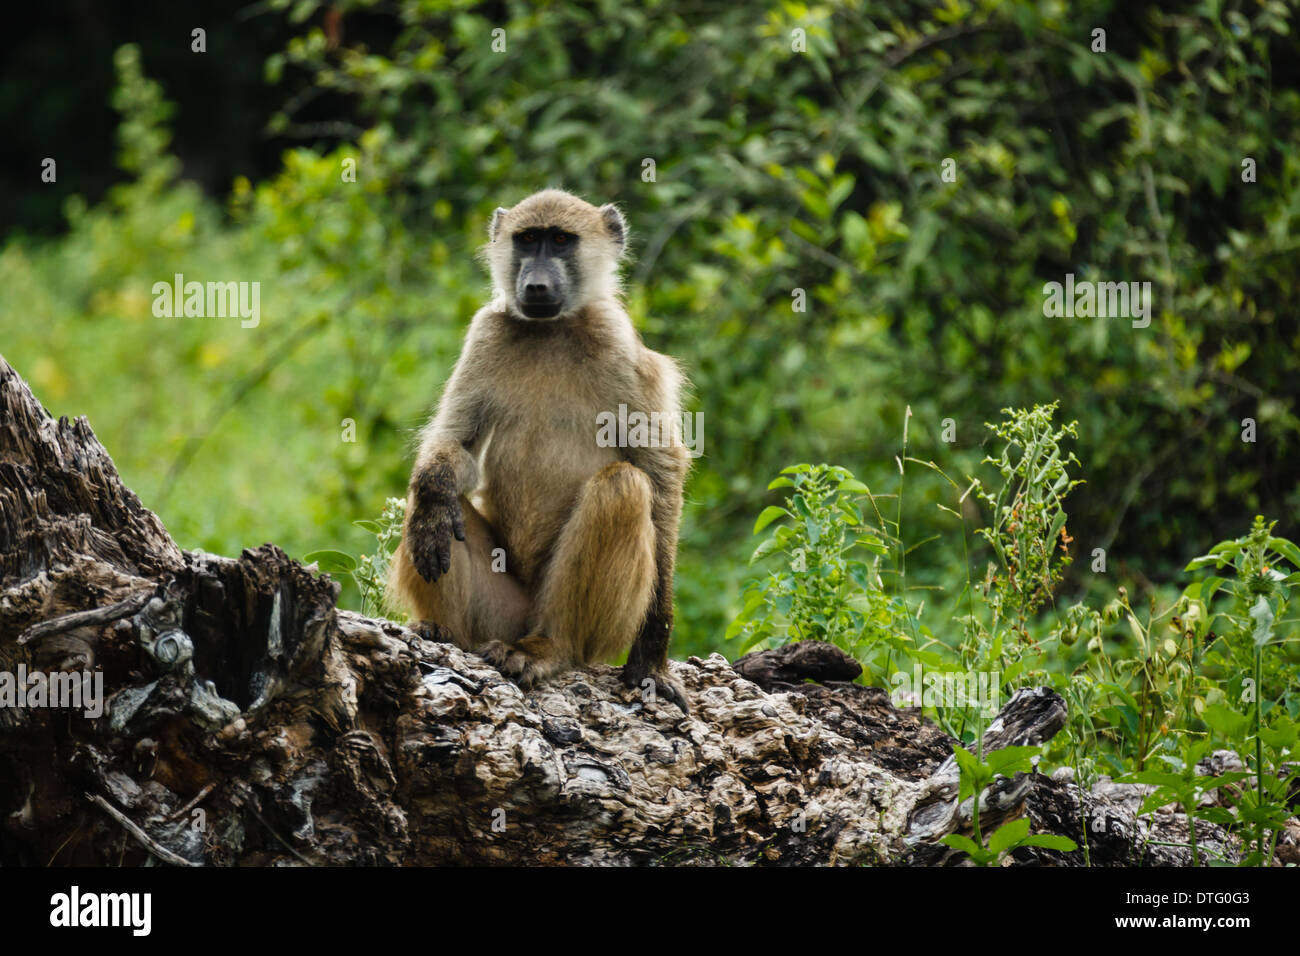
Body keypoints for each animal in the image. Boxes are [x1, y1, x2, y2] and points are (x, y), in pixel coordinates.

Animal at [386, 189, 691, 712]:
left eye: (561, 240)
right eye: (527, 240)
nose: (536, 285)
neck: (551, 329)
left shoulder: (619, 343)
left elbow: (660, 468)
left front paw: (651, 656)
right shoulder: (485, 333)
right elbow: (452, 447)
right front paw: (432, 506)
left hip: (567, 620)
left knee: (623, 487)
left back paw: (546, 650)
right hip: (498, 612)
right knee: (434, 500)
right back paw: (442, 630)